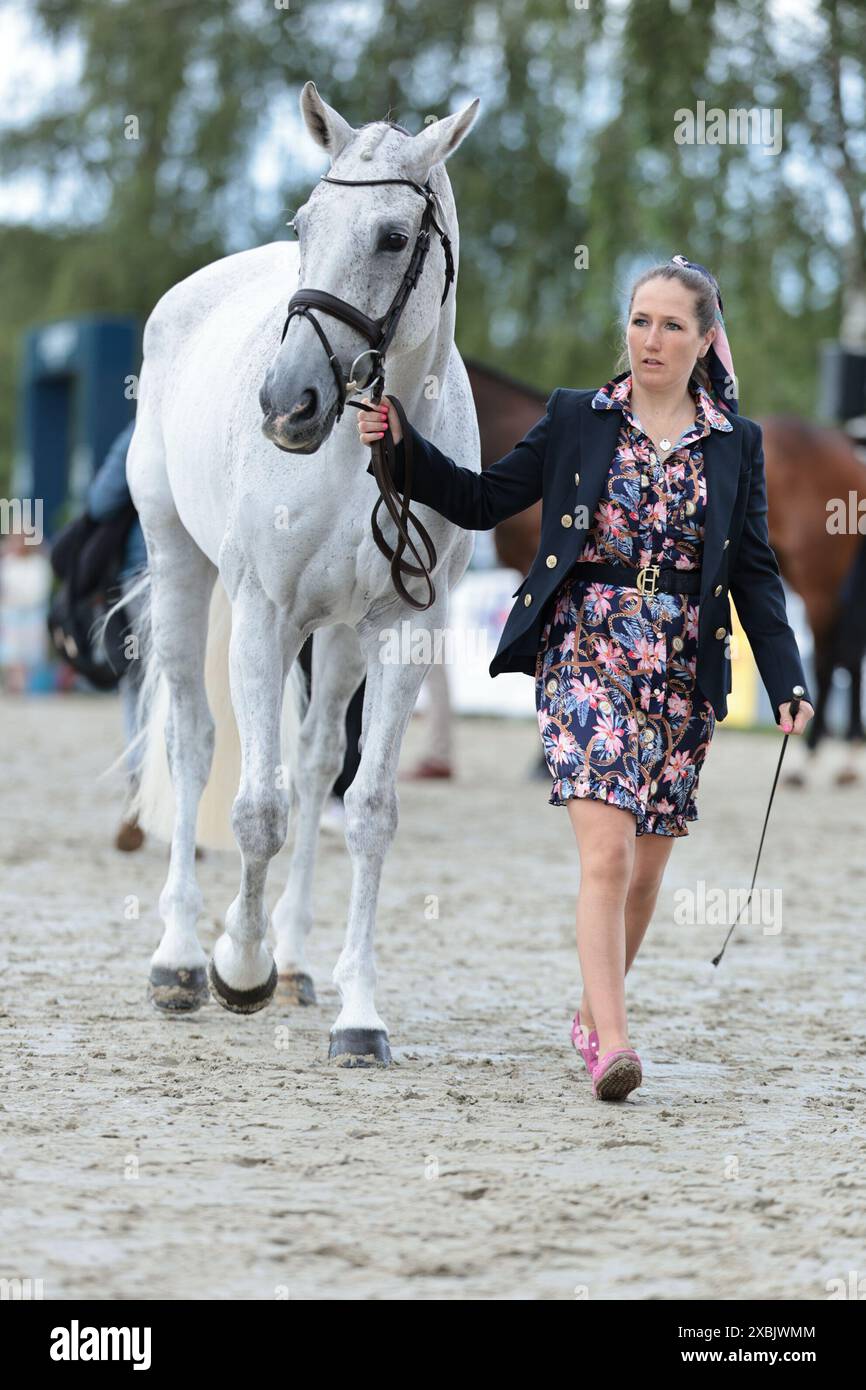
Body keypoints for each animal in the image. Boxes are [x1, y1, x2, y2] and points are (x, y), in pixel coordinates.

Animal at [126, 82, 482, 1065]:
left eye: (393, 237)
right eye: (304, 223)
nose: (287, 403)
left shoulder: (403, 630)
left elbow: (366, 810)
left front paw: (359, 1014)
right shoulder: (263, 616)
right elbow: (257, 810)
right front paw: (234, 968)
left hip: (344, 636)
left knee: (320, 758)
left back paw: (292, 963)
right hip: (180, 566)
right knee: (194, 743)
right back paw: (181, 959)